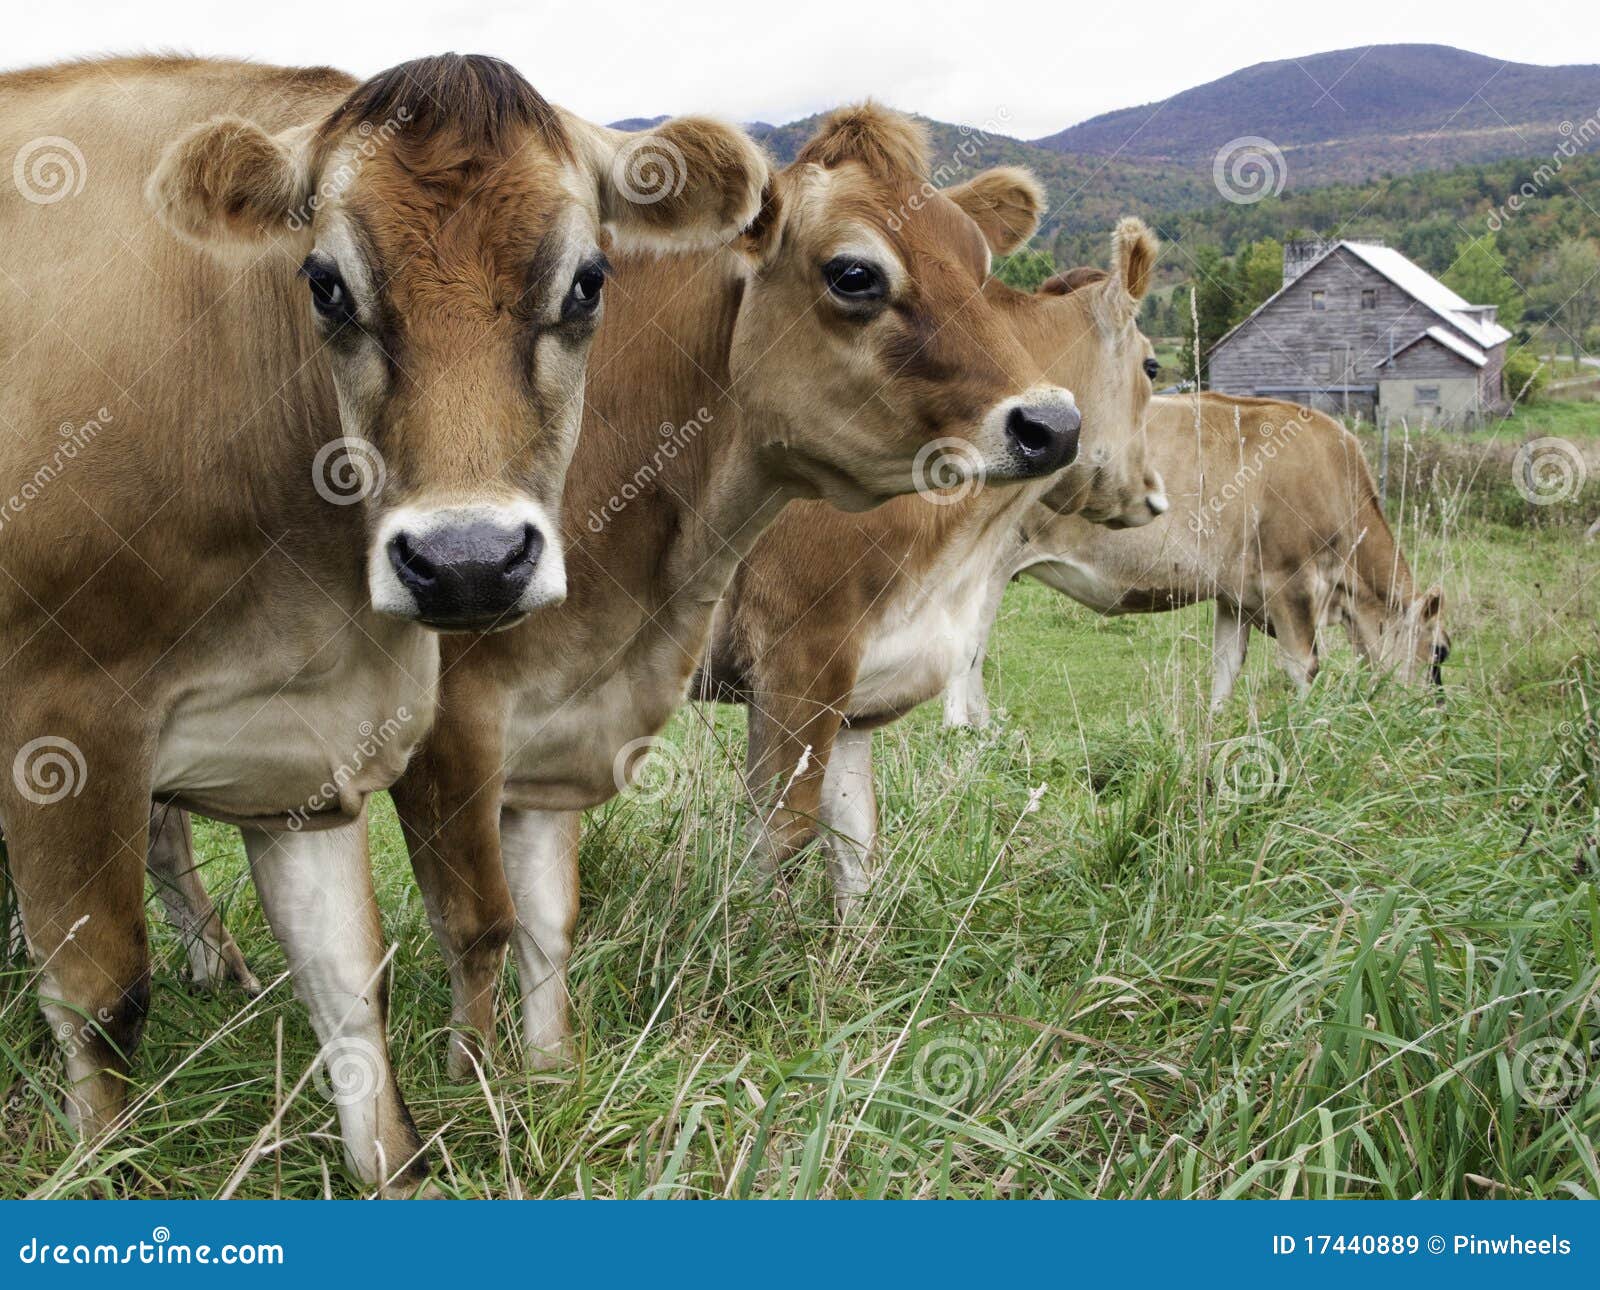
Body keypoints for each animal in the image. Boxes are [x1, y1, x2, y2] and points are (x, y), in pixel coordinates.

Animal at [0, 53, 767, 1194]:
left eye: (590, 280)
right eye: (325, 283)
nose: (468, 560)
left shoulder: (307, 741)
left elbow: (350, 985)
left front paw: (394, 1164)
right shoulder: (61, 721)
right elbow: (102, 995)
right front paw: (96, 1168)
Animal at [697, 244, 1165, 913]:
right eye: (1151, 364)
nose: (1155, 494)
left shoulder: (856, 700)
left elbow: (856, 848)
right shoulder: (799, 659)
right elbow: (776, 841)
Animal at [945, 392, 1448, 729]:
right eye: (1440, 651)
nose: (1434, 716)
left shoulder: (1237, 594)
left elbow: (1227, 664)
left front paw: (1217, 725)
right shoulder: (1292, 582)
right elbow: (1303, 665)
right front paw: (1310, 726)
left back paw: (987, 727)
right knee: (964, 648)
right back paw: (963, 731)